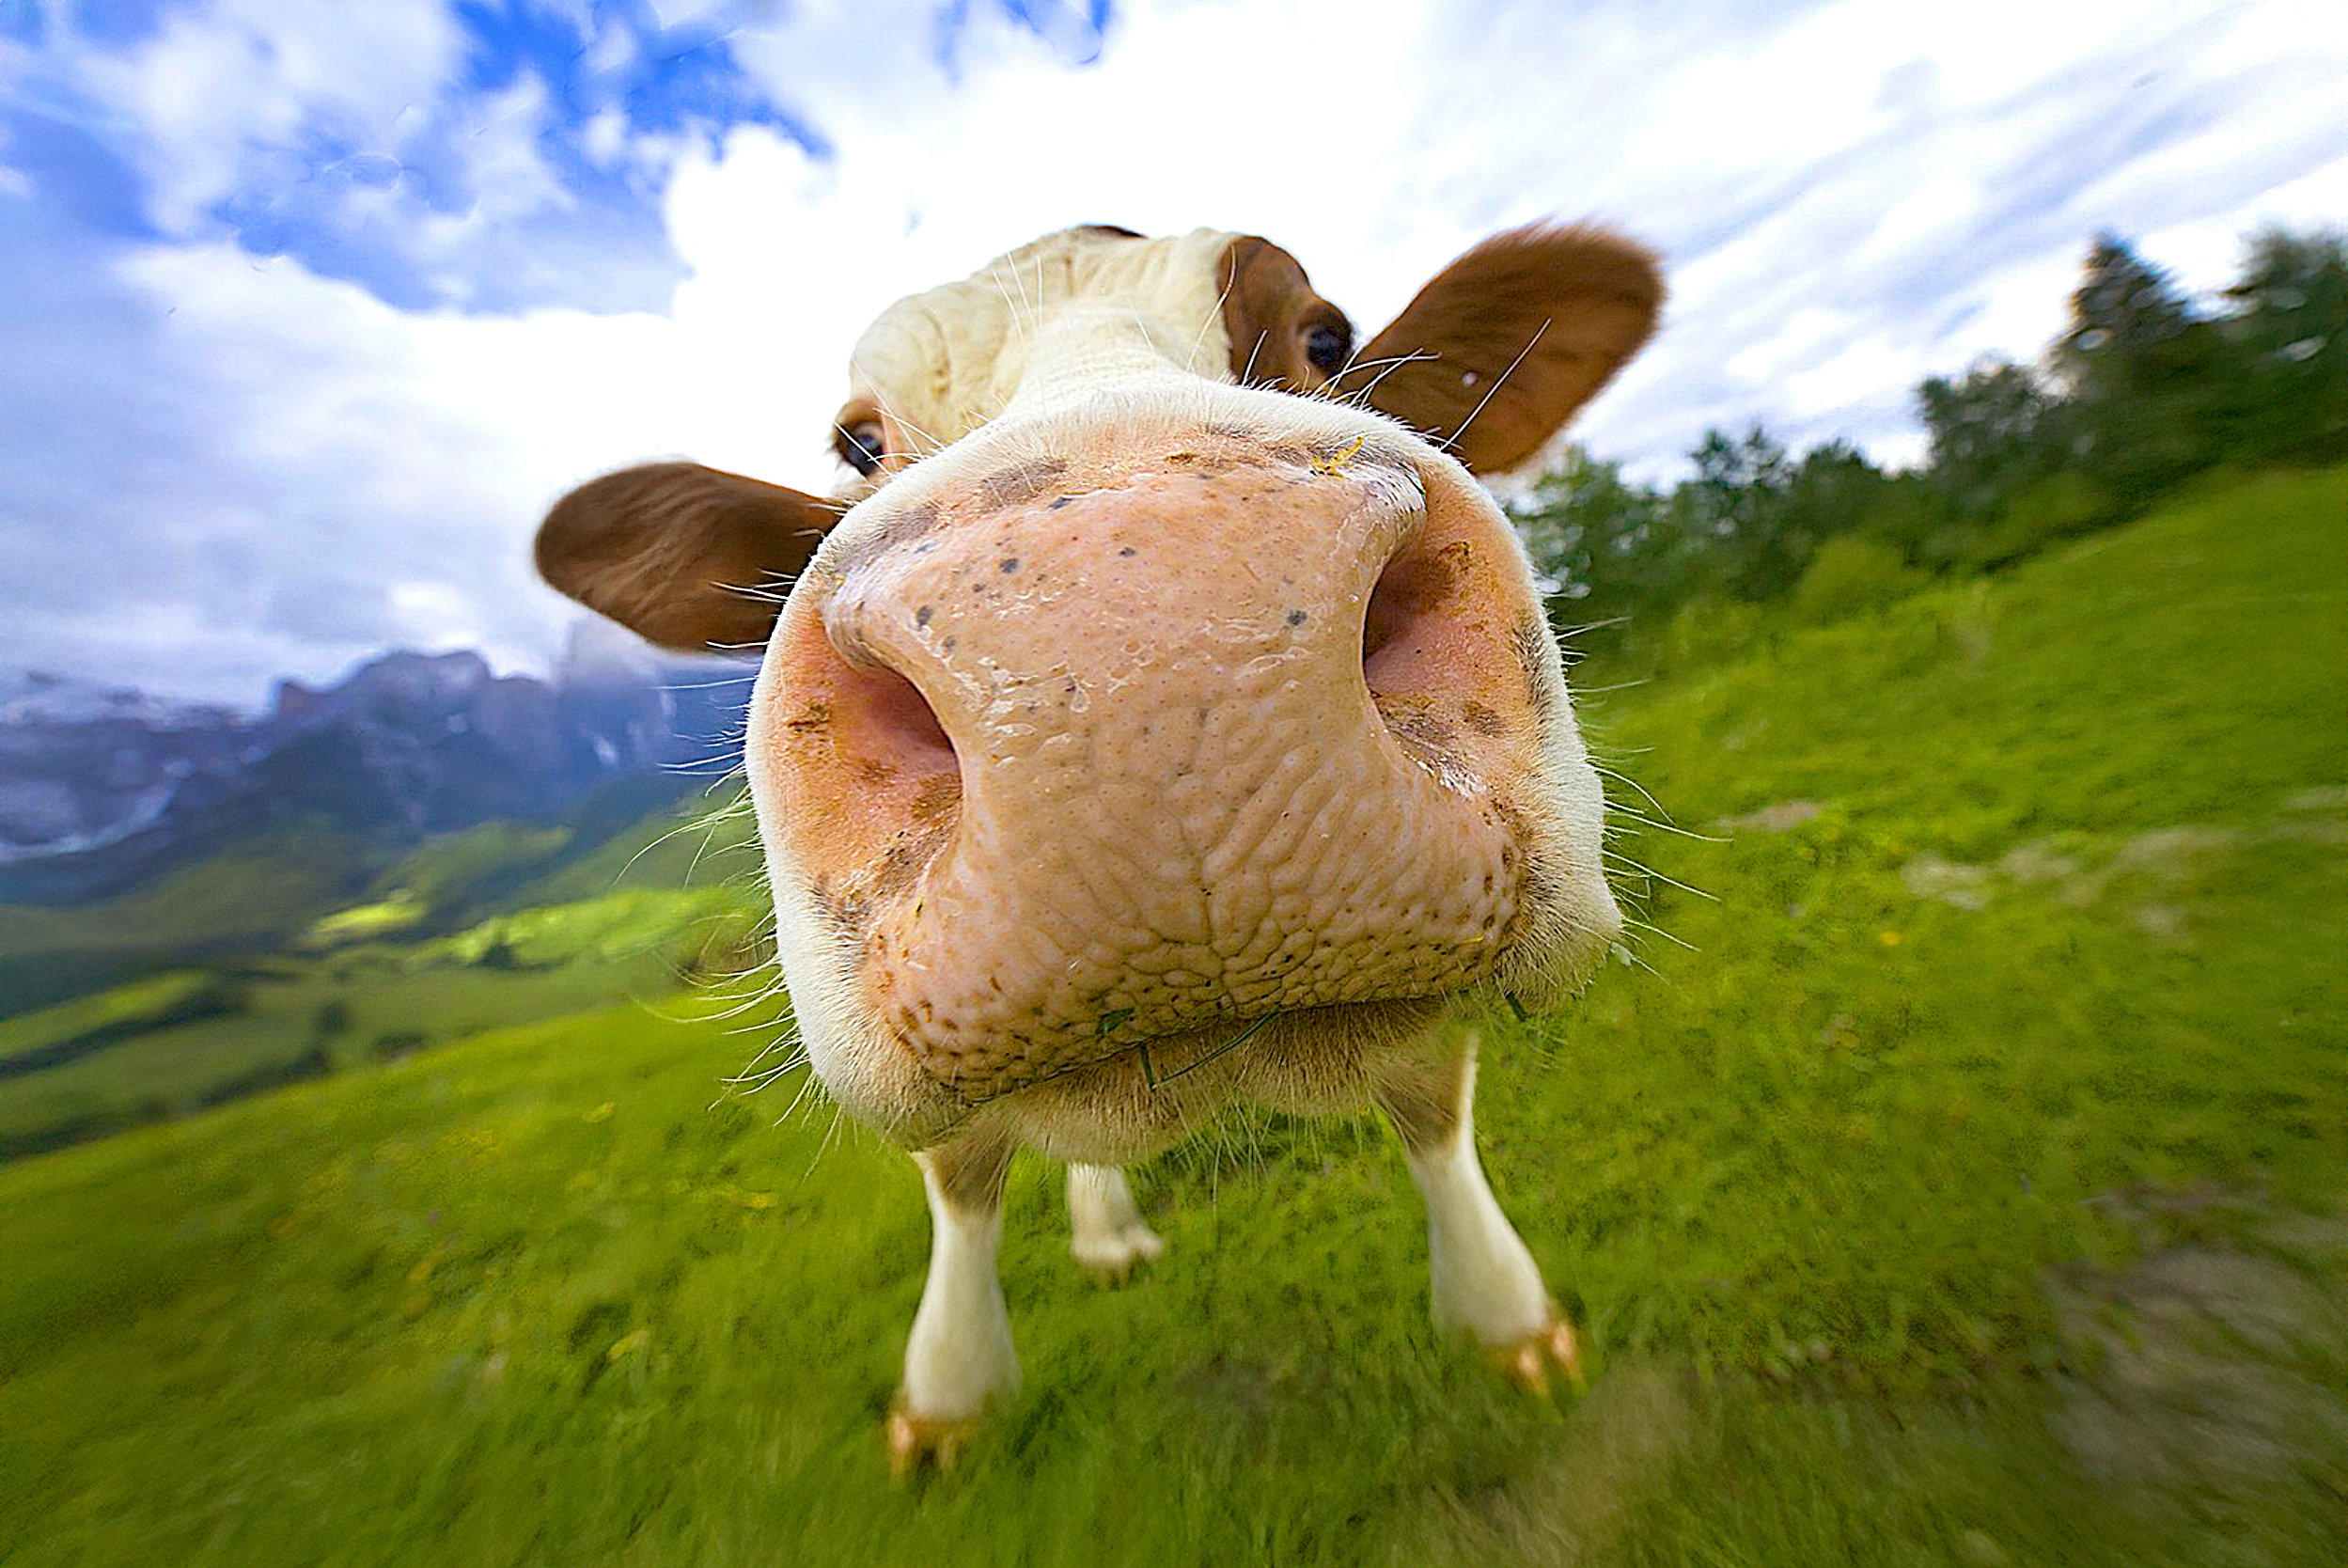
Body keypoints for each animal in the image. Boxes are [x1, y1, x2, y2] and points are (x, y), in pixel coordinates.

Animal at [534, 221, 1661, 1470]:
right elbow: (961, 1182)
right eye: (856, 440)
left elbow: (1430, 1105)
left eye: (1326, 336)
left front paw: (1508, 1320)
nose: (1136, 639)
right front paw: (948, 1395)